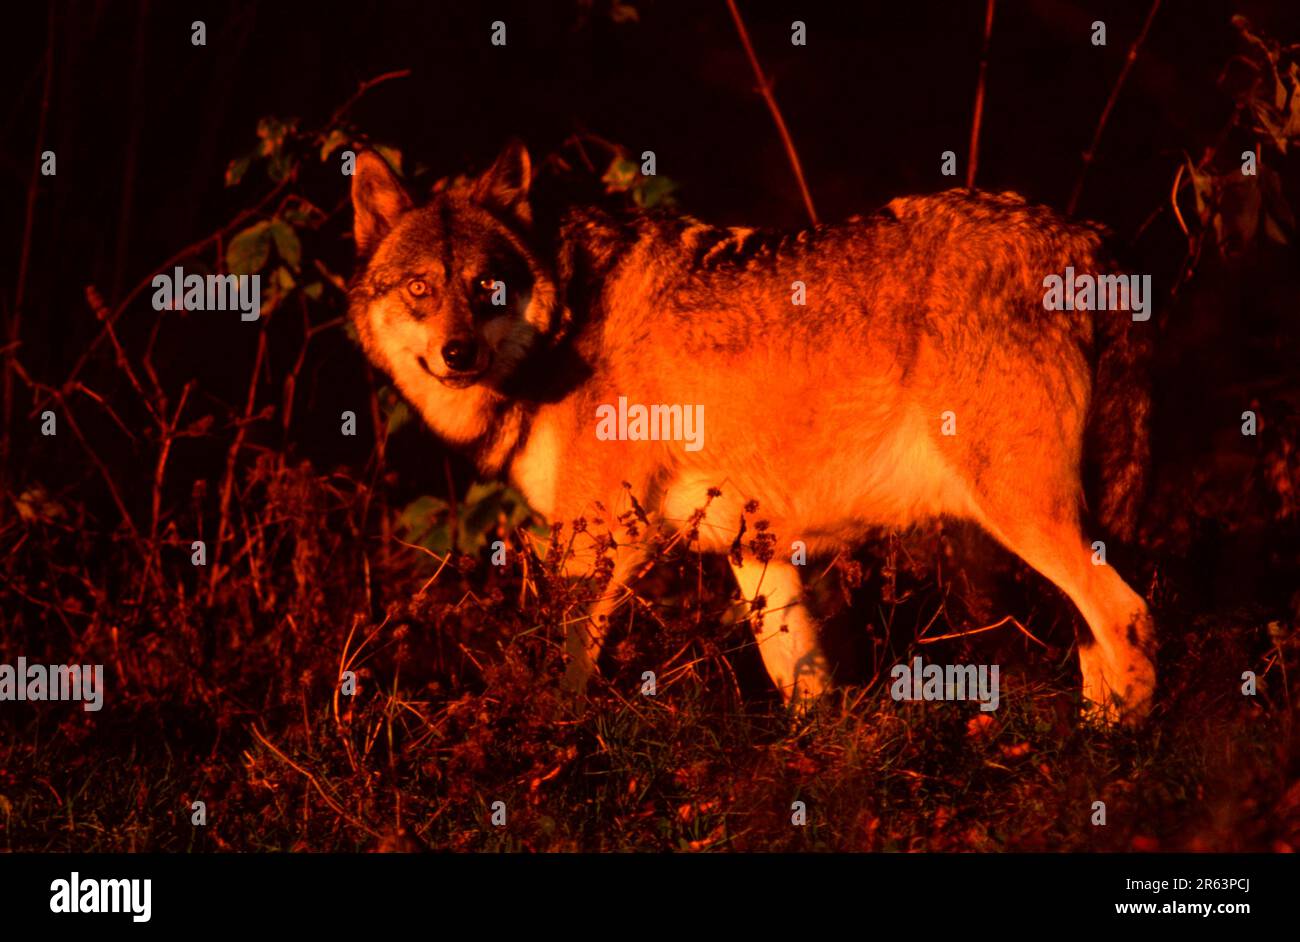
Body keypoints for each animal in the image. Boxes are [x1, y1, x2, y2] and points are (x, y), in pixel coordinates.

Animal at [347, 142, 1157, 724]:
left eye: (486, 285)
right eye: (421, 287)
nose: (458, 355)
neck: (565, 325)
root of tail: (1087, 238)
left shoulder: (598, 547)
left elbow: (569, 676)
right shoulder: (756, 549)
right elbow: (805, 692)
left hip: (1022, 515)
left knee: (1127, 616)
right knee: (1100, 635)